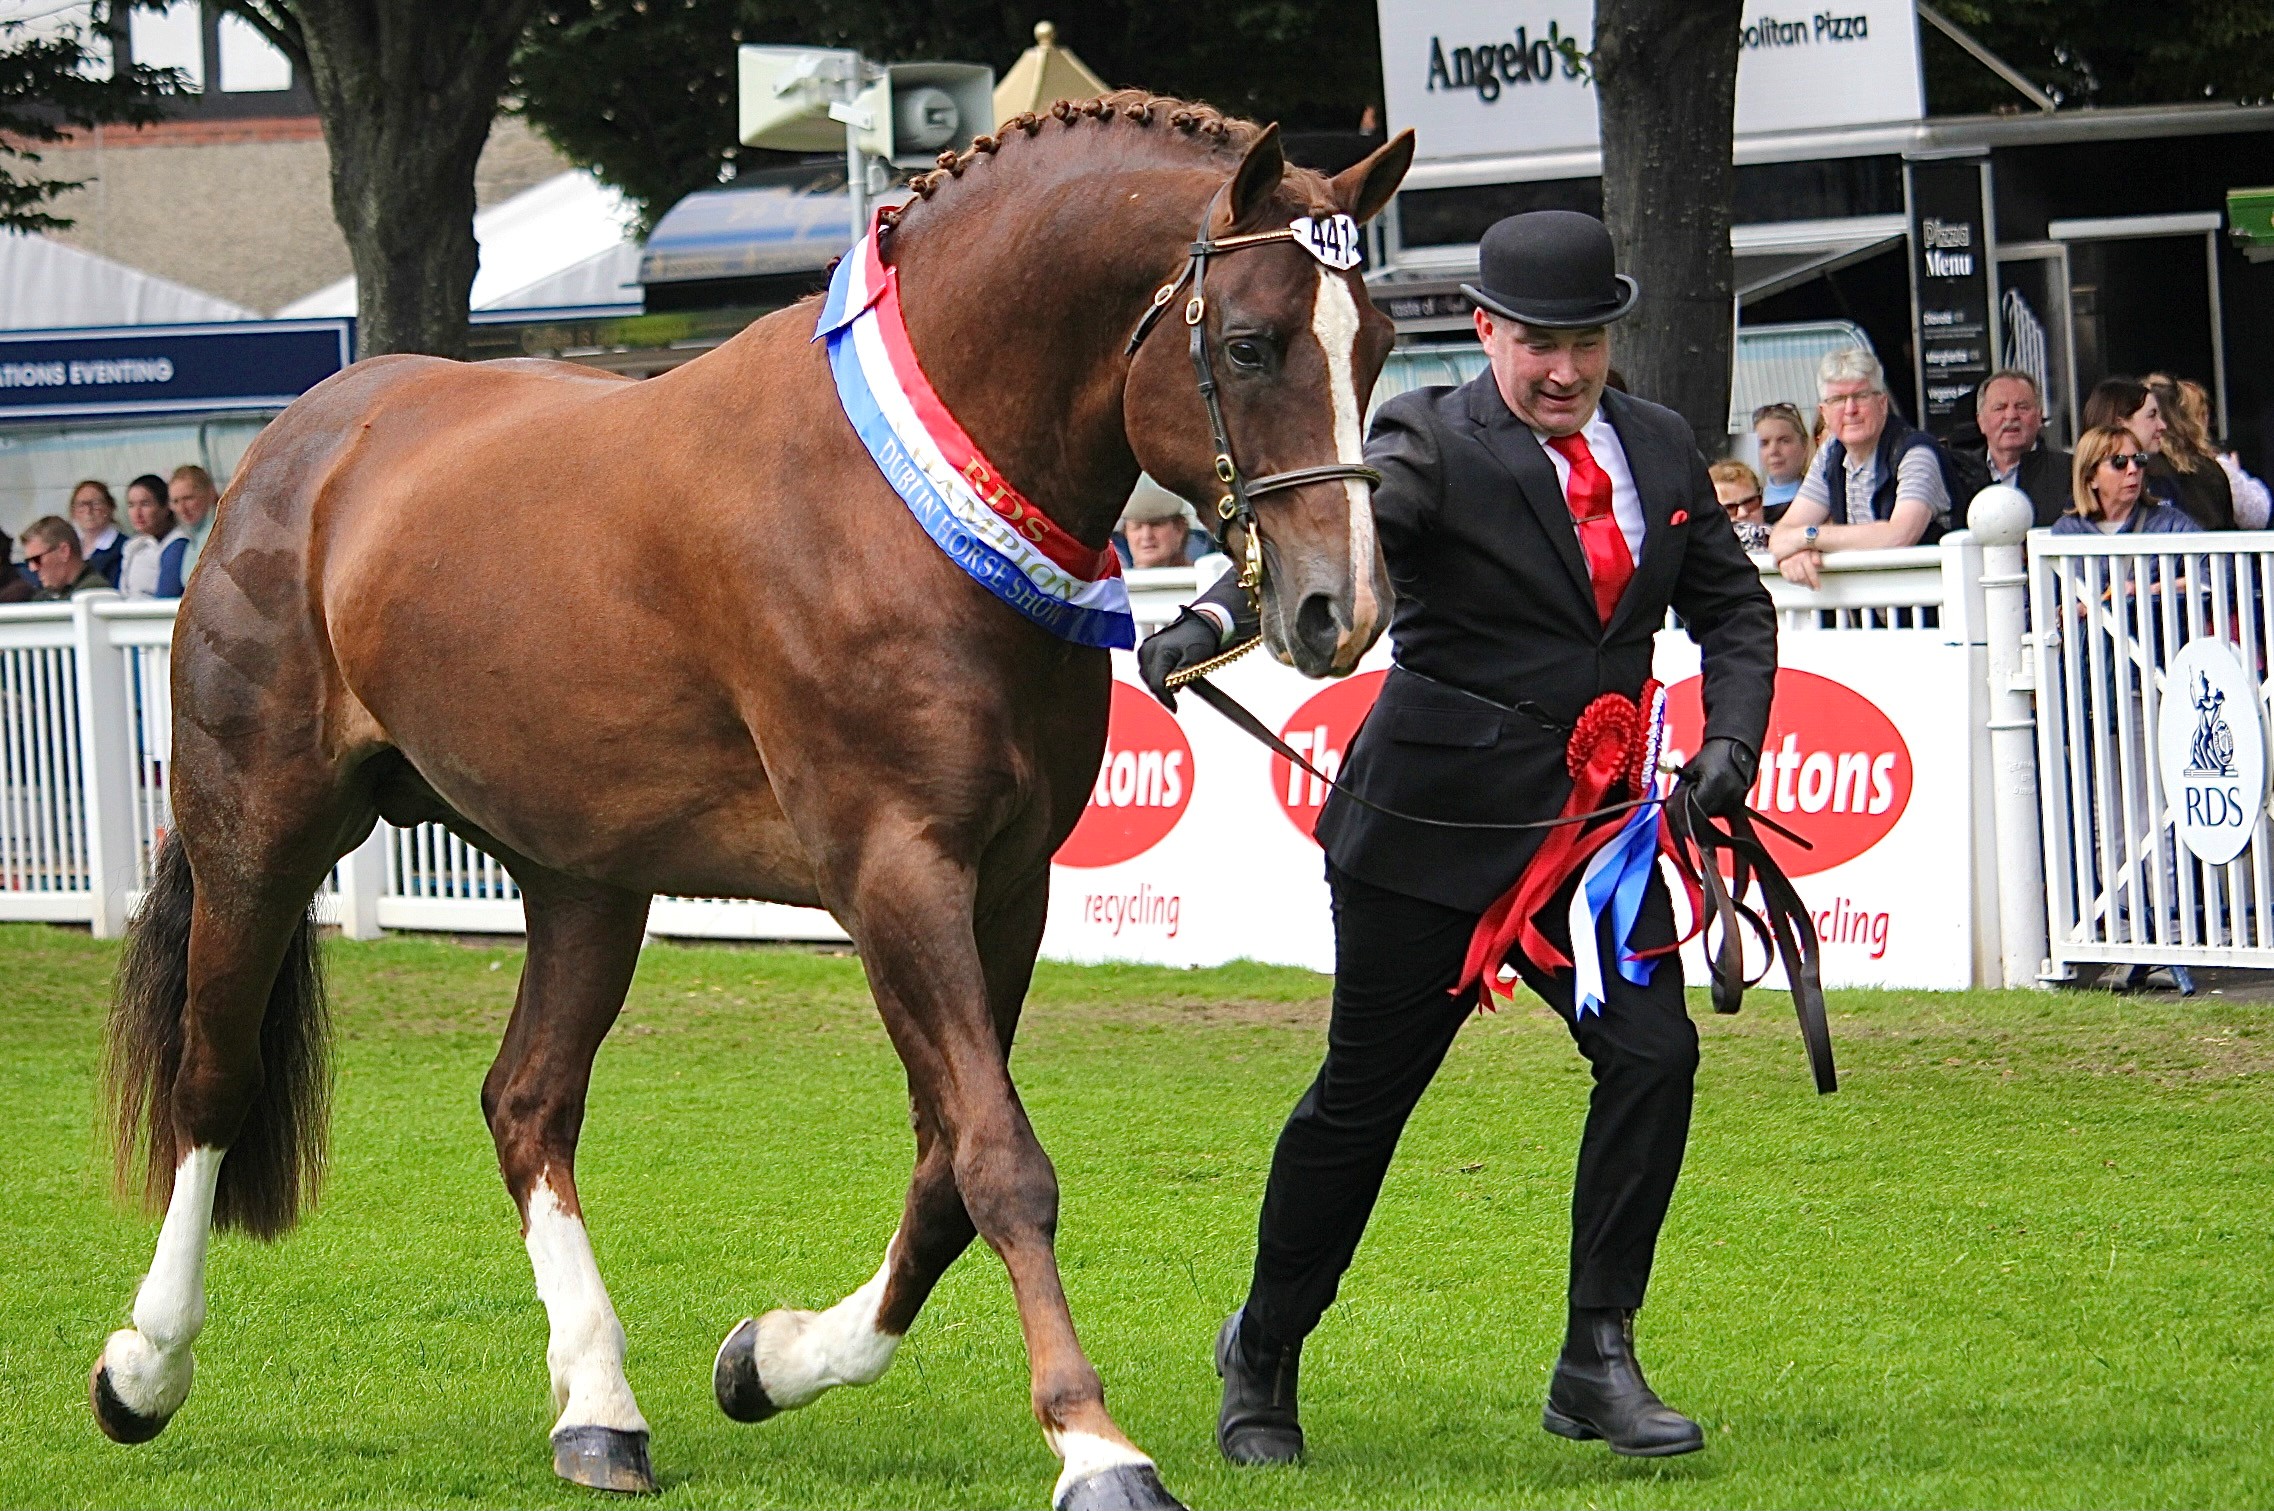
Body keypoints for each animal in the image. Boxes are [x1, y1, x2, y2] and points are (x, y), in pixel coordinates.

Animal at [88, 91, 1412, 1509]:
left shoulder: (1005, 888)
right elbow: (1000, 1159)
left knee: (527, 1102)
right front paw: (1094, 1442)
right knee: (213, 1081)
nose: (1339, 610)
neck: (901, 504)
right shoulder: (895, 872)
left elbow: (947, 1170)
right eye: (1253, 343)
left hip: (585, 881)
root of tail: (304, 440)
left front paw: (772, 1358)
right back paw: (145, 1364)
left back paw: (600, 1407)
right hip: (259, 831)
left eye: (1383, 345)